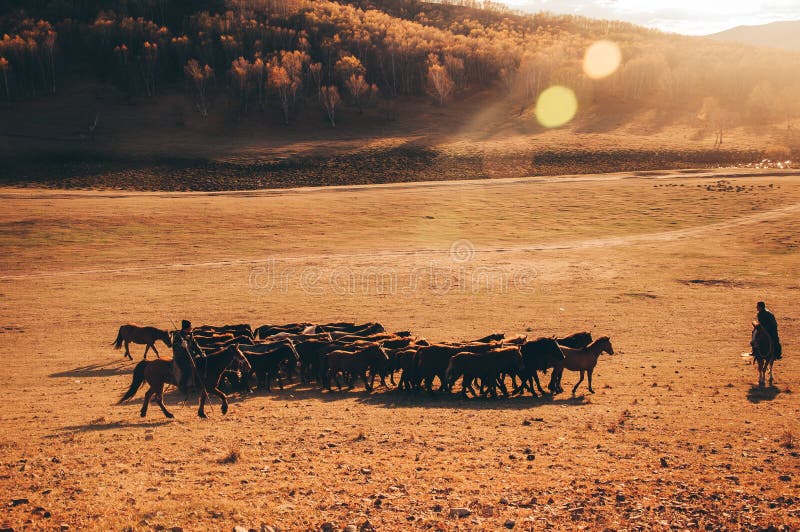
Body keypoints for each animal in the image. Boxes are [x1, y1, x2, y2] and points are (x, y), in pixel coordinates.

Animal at [118, 344, 251, 418]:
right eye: (240, 356)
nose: (248, 367)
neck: (210, 365)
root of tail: (149, 363)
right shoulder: (210, 387)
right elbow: (223, 395)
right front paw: (224, 409)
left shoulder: (205, 388)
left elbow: (203, 399)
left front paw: (202, 414)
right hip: (158, 385)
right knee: (158, 399)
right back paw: (169, 414)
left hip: (156, 384)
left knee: (148, 395)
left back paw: (143, 412)